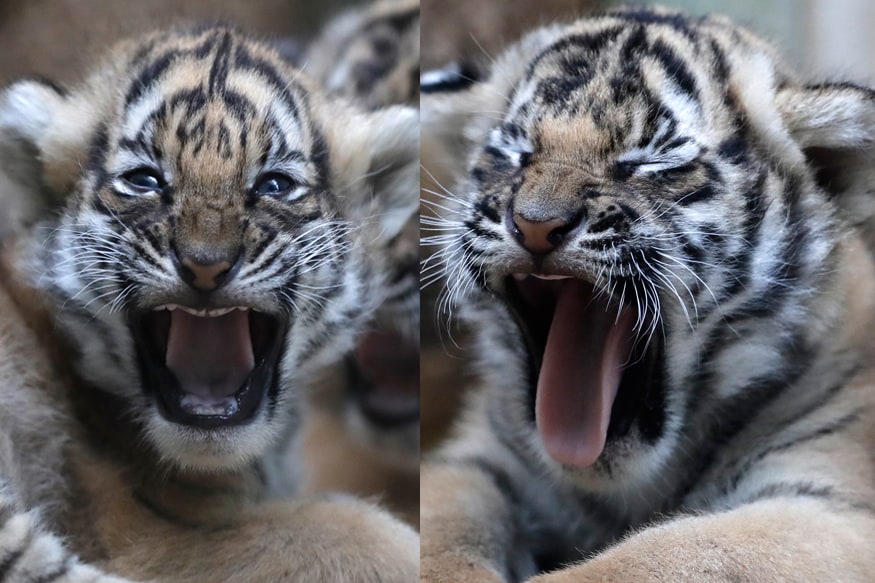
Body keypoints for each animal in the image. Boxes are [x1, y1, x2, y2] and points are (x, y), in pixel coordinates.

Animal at [420, 6, 875, 582]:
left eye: (646, 161)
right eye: (516, 153)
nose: (536, 225)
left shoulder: (827, 505)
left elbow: (663, 553)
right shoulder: (479, 461)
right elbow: (440, 528)